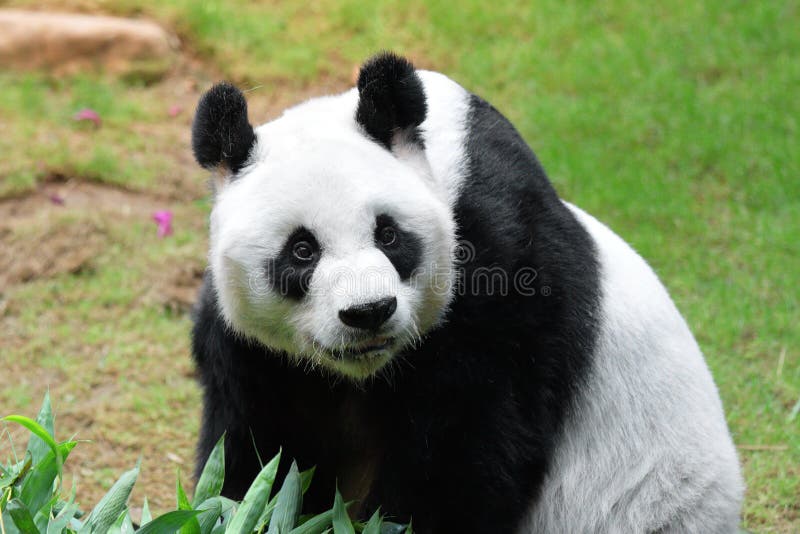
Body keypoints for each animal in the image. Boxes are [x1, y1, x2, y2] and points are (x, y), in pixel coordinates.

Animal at [190, 52, 743, 533]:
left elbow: (462, 456)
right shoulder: (256, 354)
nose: (369, 312)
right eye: (302, 250)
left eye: (388, 235)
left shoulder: (503, 286)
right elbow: (255, 452)